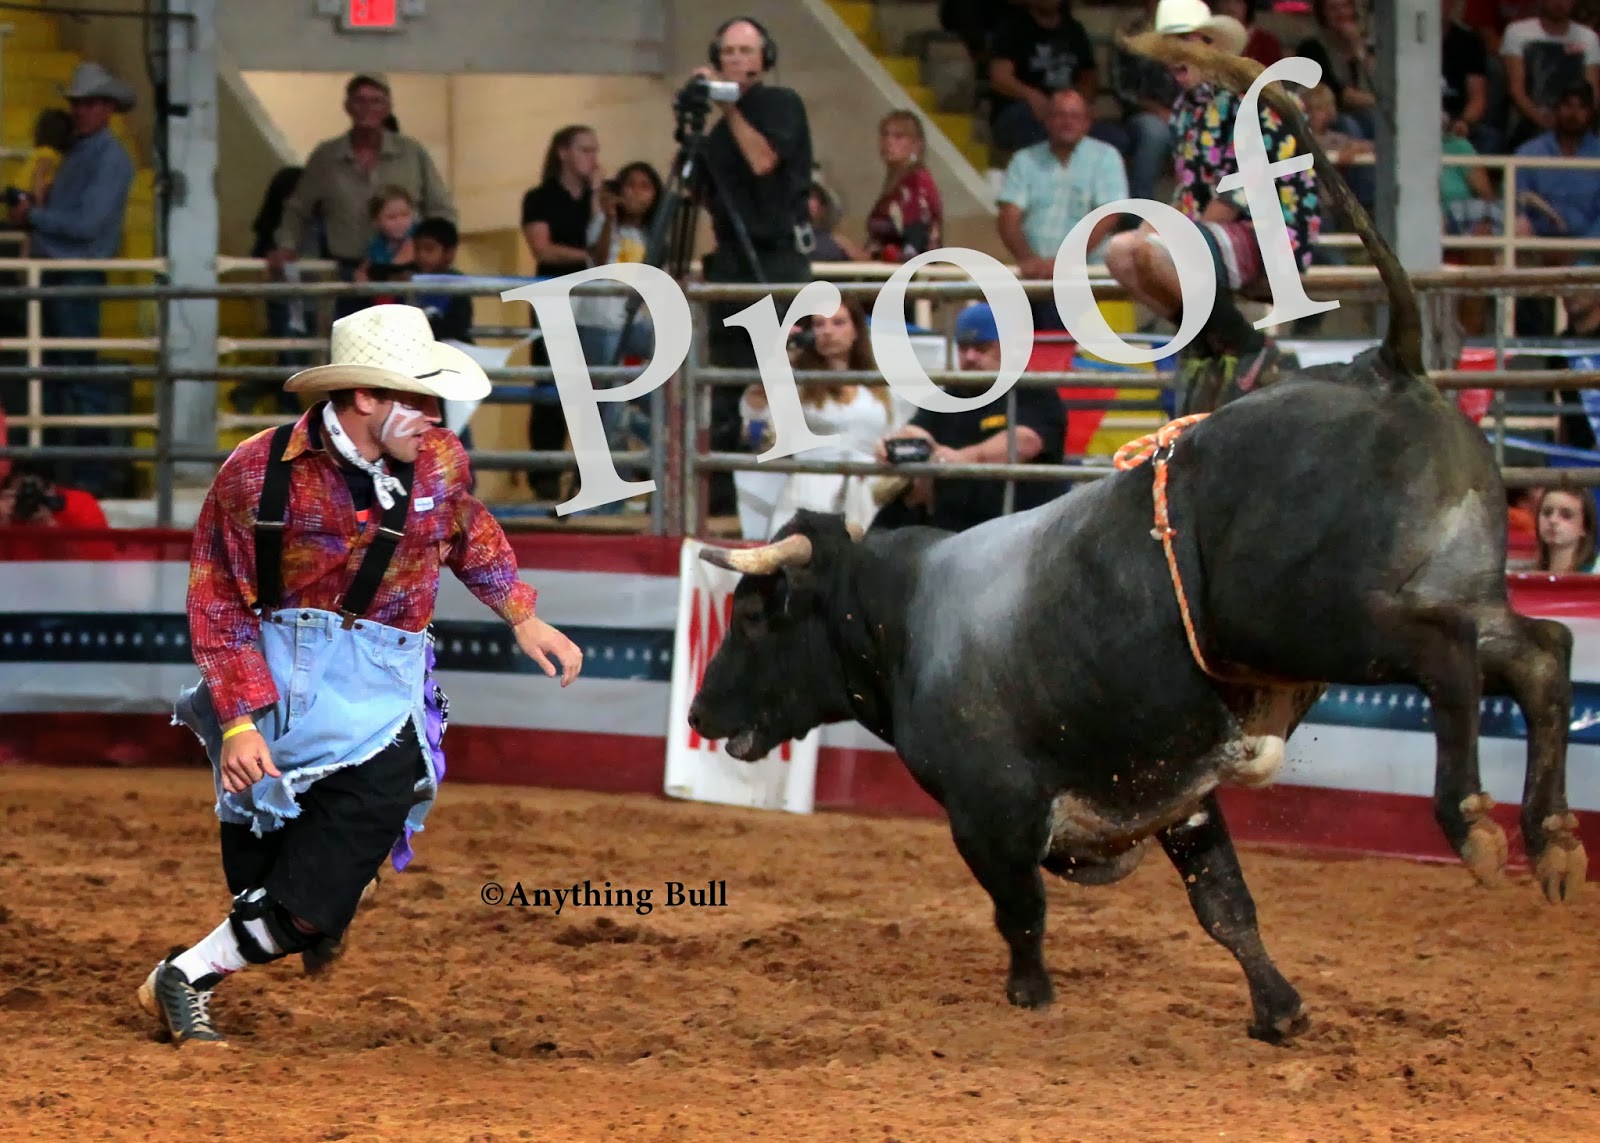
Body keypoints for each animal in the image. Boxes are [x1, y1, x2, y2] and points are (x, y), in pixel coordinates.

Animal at [685, 38, 1586, 1044]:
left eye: (753, 615)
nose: (701, 712)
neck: (900, 617)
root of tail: (1380, 365)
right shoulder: (1181, 796)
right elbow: (1224, 903)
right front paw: (1278, 1008)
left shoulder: (989, 814)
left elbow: (1021, 910)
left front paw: (1030, 994)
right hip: (1454, 583)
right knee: (1540, 651)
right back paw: (1550, 836)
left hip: (1324, 619)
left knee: (1449, 660)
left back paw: (1470, 819)